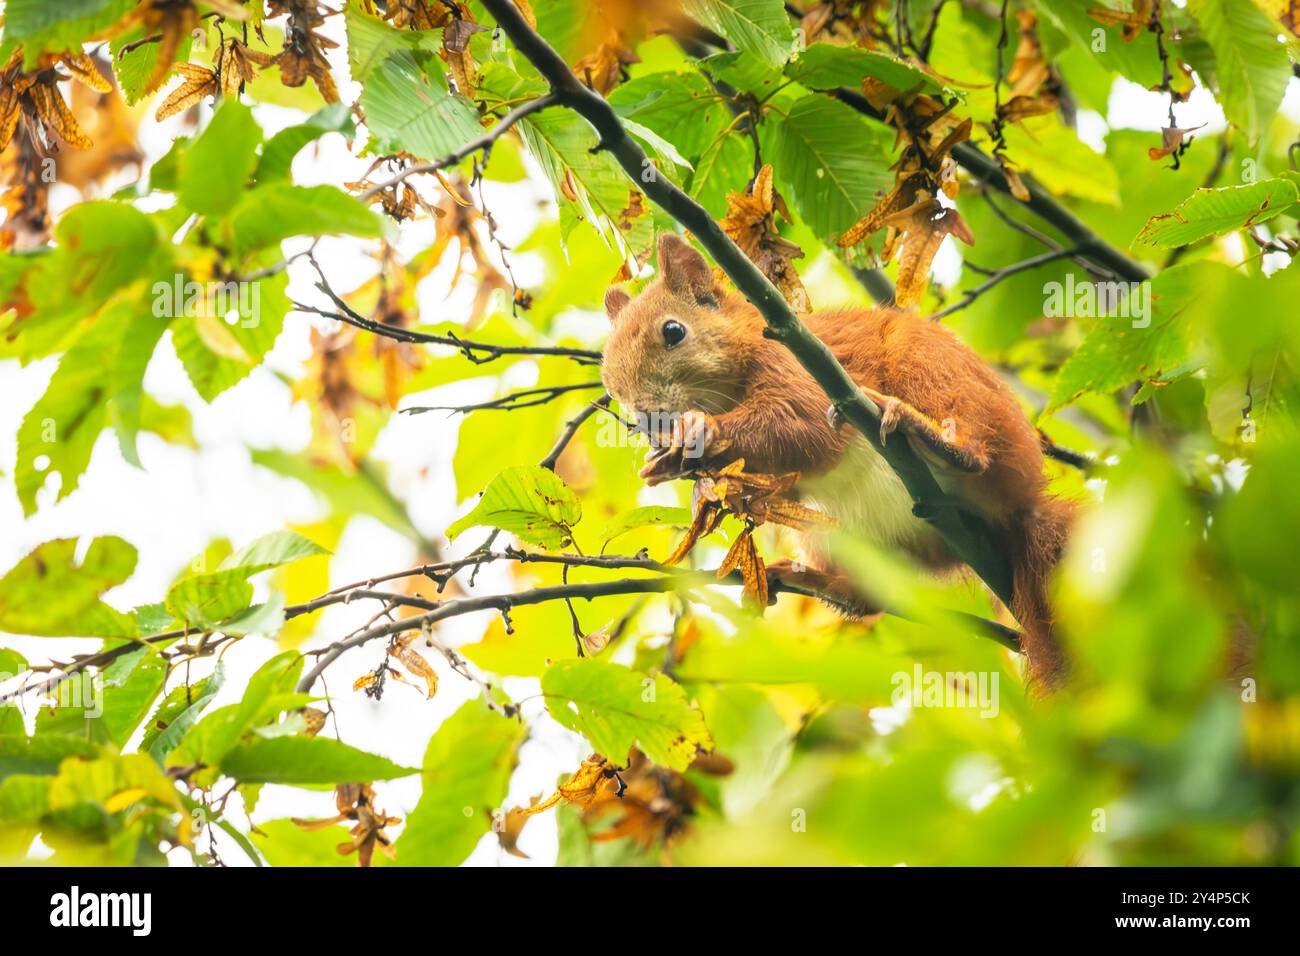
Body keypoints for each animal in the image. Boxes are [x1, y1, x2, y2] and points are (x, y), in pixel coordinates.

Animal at [601, 233, 1075, 690]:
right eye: (608, 378)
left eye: (674, 331)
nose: (647, 421)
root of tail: (1023, 505)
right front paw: (692, 479)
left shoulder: (791, 366)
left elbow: (803, 425)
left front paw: (700, 431)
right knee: (868, 600)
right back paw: (816, 581)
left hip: (934, 371)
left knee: (973, 452)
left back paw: (923, 433)